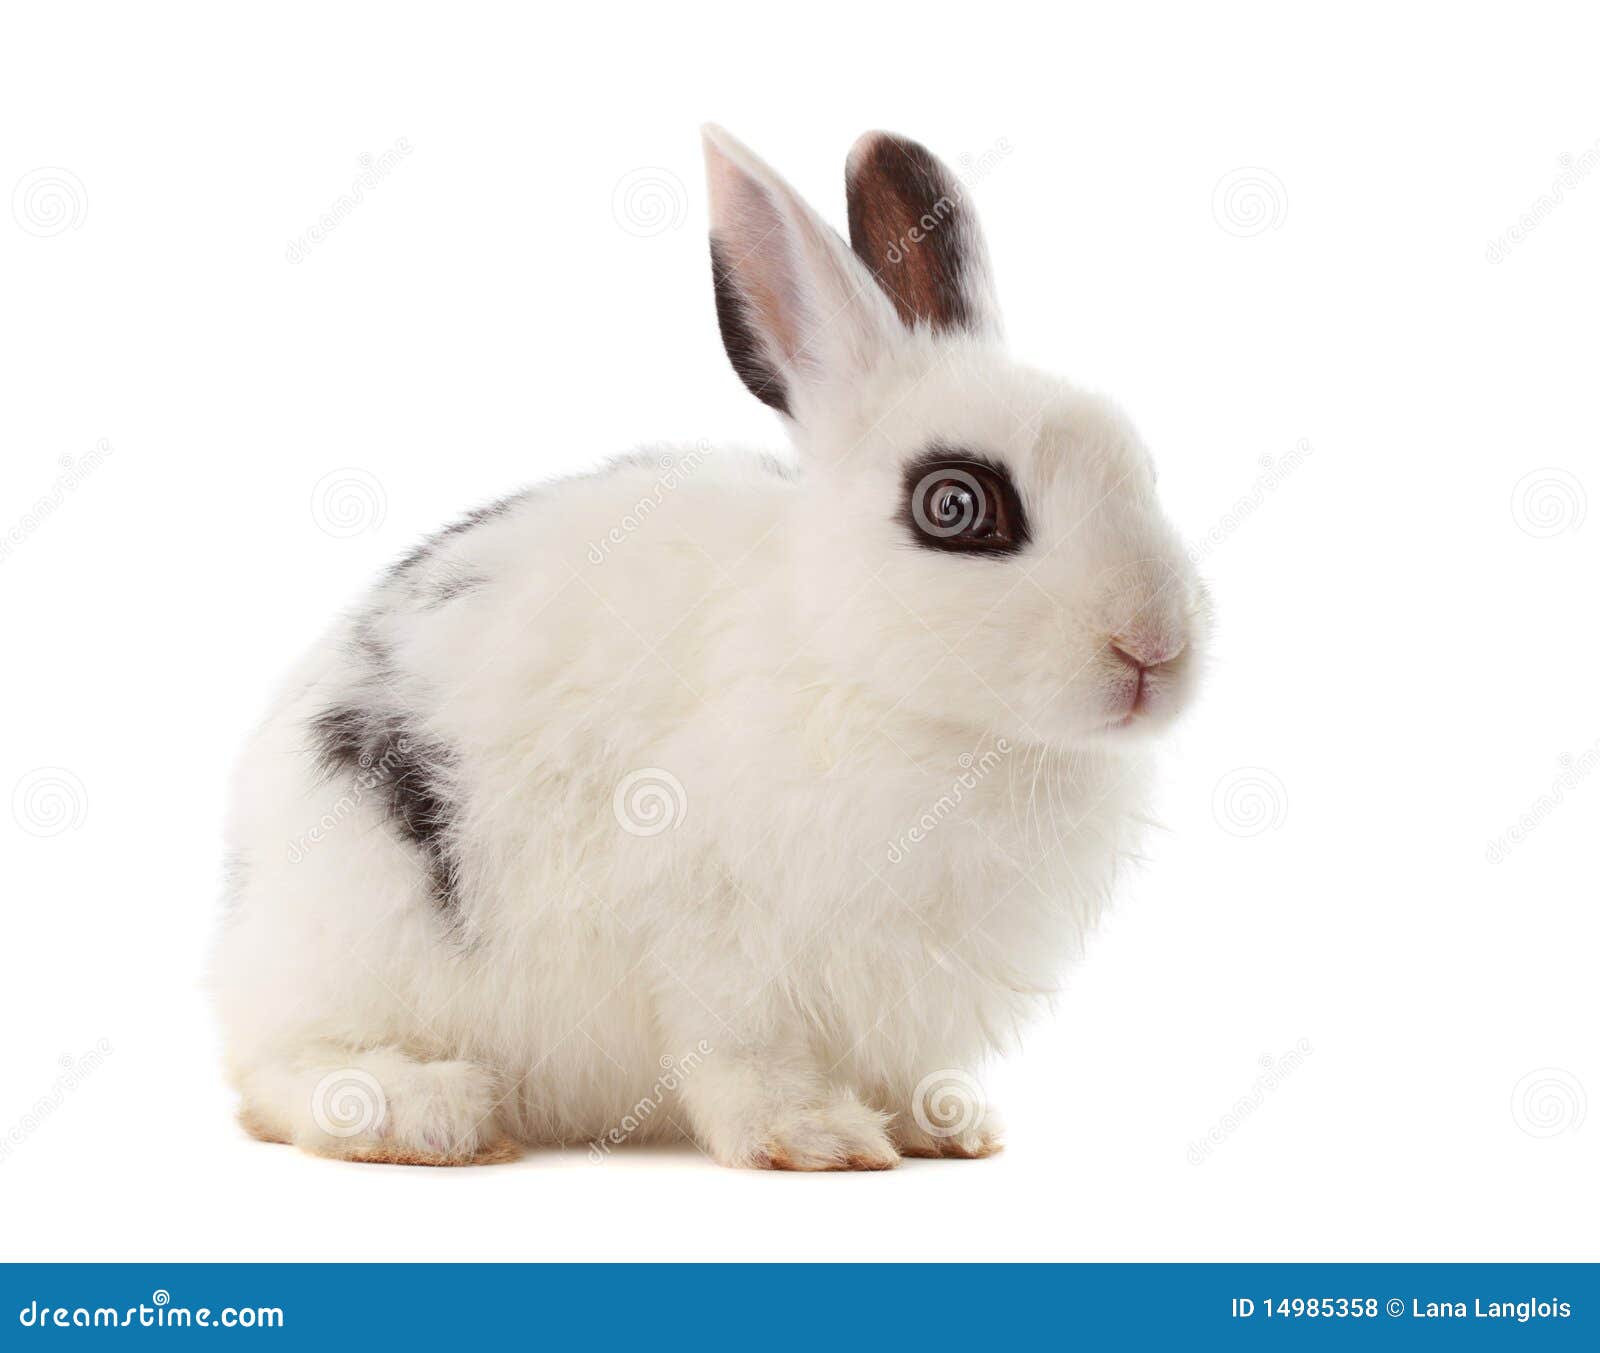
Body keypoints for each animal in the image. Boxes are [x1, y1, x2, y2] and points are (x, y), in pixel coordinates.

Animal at [211, 124, 1206, 1170]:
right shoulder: (713, 935)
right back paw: (424, 1111)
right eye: (954, 505)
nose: (1155, 646)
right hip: (362, 919)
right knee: (278, 1074)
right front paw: (815, 1137)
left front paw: (946, 1124)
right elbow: (739, 1053)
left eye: (1141, 465)